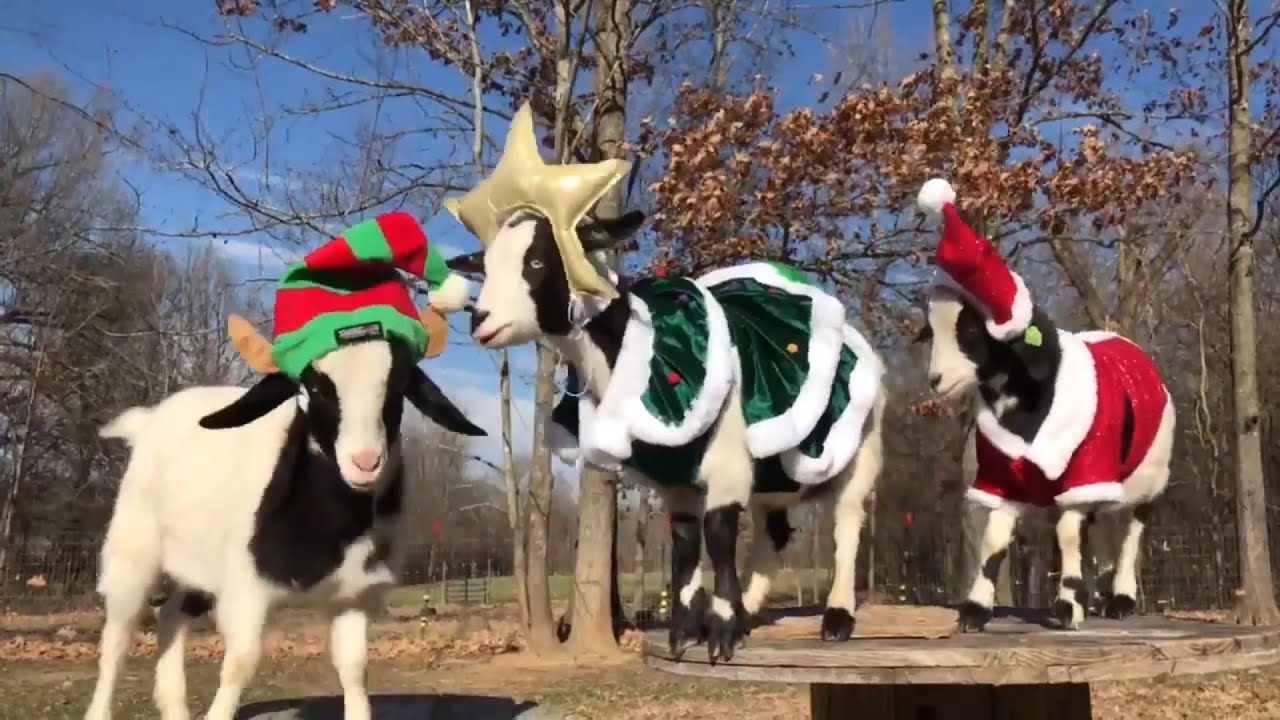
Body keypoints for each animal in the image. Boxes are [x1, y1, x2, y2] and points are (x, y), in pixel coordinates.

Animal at [914, 178, 1174, 631]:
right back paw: (1099, 597)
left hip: (1147, 473)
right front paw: (975, 610)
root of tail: (1127, 345)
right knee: (1101, 528)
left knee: (1131, 531)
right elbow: (994, 540)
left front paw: (1067, 606)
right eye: (931, 331)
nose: (936, 381)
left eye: (971, 329)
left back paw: (1120, 599)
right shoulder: (1000, 476)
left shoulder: (1085, 468)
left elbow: (1067, 535)